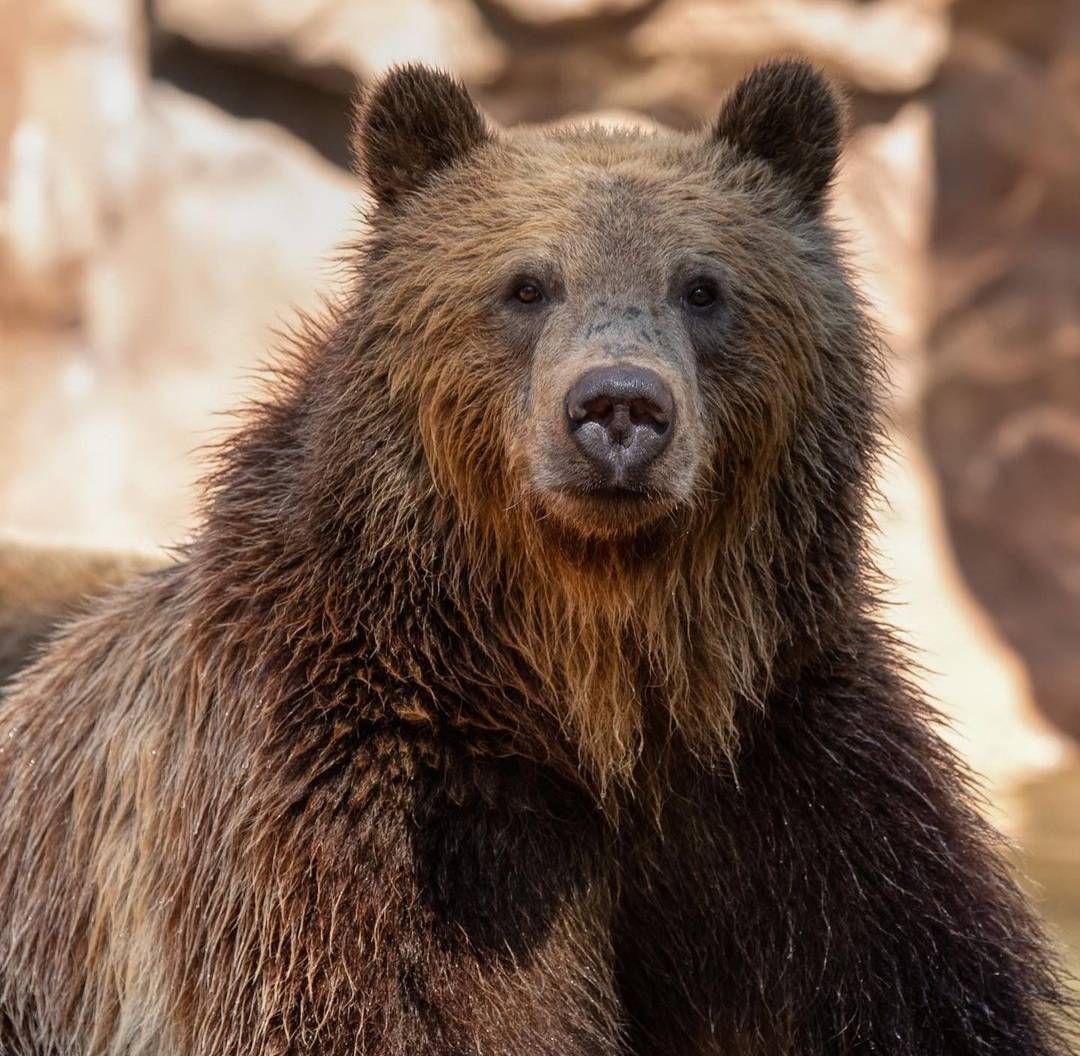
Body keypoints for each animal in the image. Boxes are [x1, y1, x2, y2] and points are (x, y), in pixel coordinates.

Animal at [0, 60, 1073, 1056]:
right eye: (525, 284)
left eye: (703, 286)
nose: (619, 407)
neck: (591, 681)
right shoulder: (370, 823)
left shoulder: (796, 793)